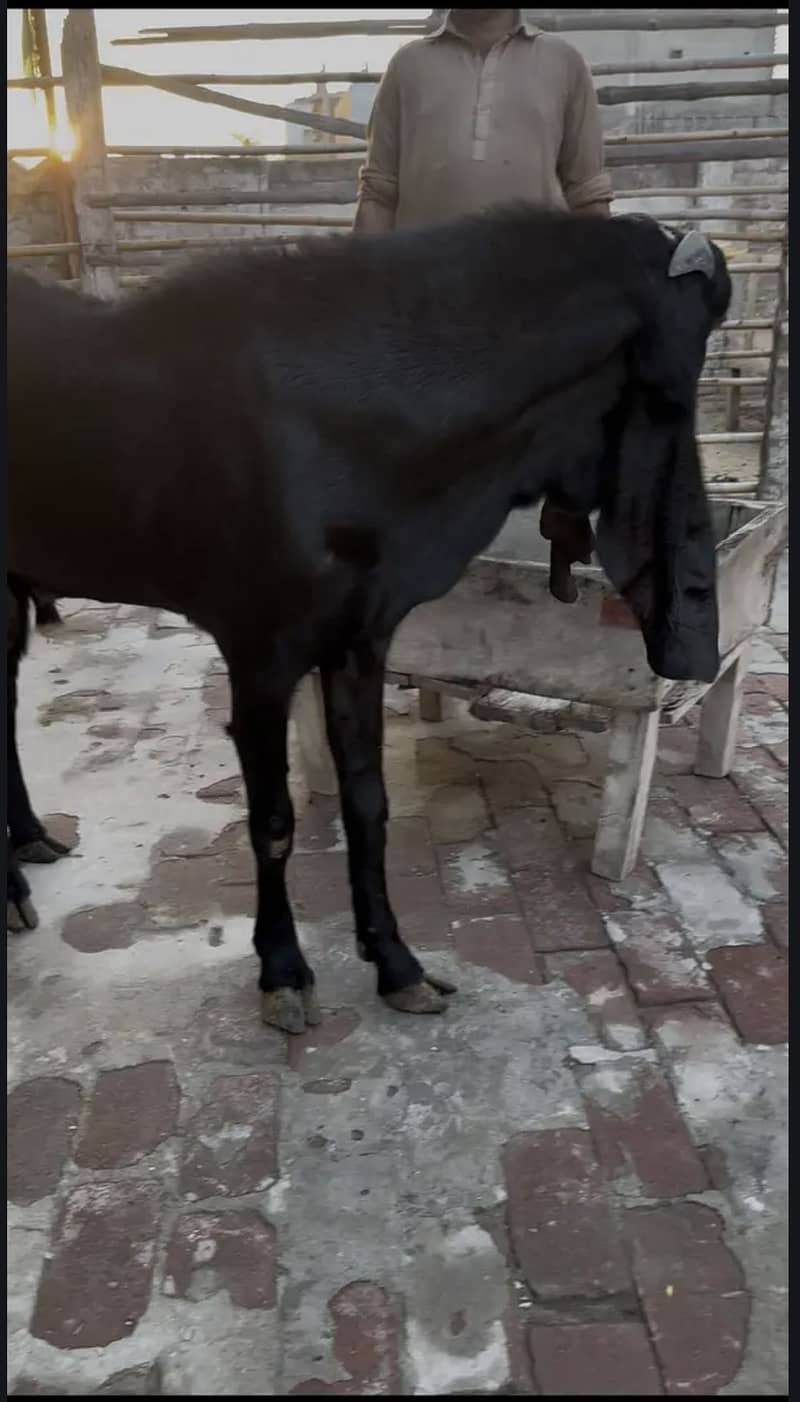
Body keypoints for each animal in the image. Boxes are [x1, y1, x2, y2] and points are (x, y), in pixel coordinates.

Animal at [8, 206, 730, 1030]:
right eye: (672, 388)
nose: (693, 628)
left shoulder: (361, 637)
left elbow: (368, 803)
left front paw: (396, 963)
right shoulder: (259, 648)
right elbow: (274, 821)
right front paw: (283, 972)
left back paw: (28, 842)